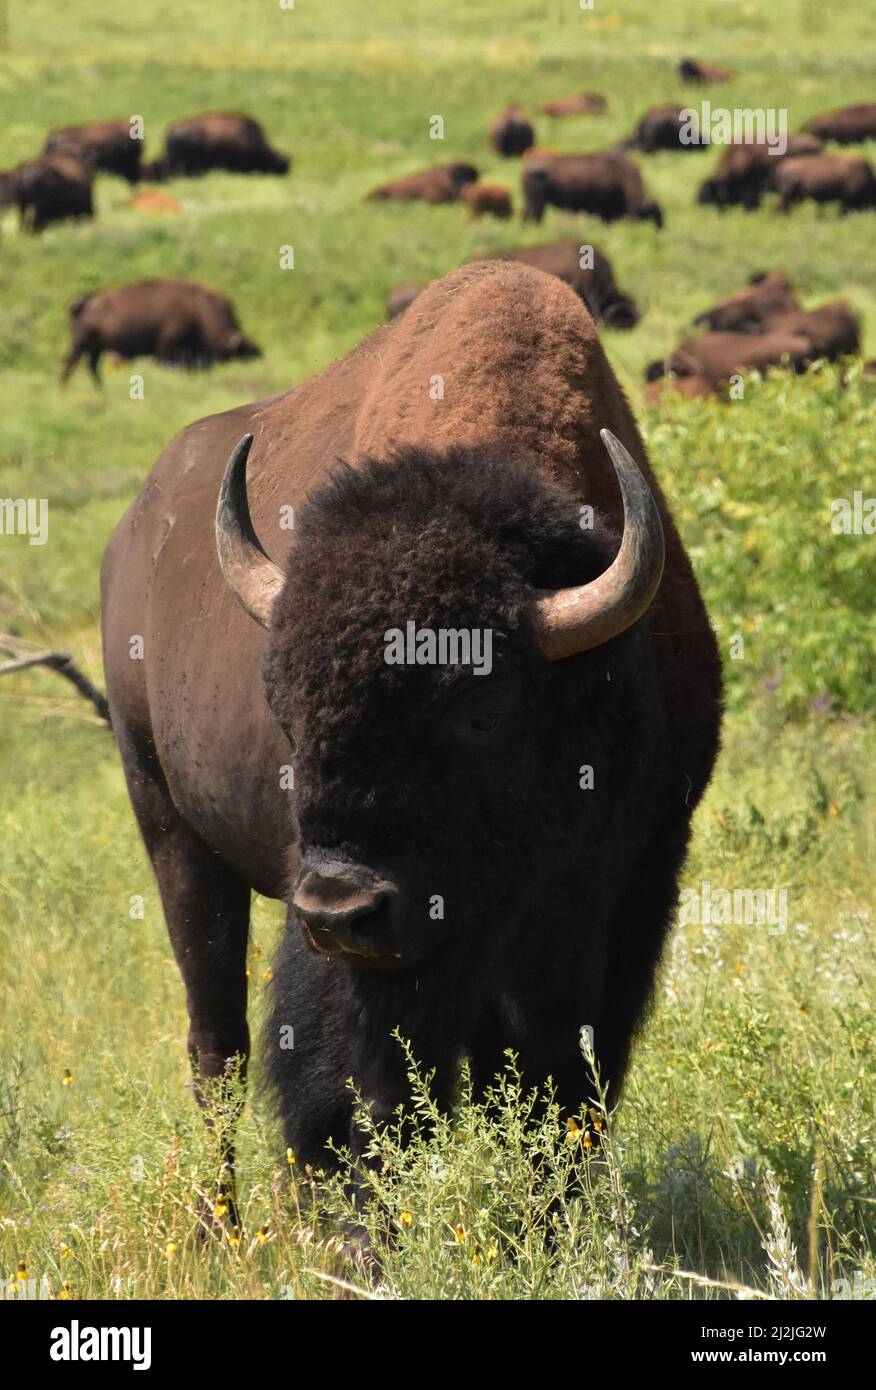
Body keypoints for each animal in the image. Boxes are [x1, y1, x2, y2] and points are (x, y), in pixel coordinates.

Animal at [61, 278, 261, 383]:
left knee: (91, 367)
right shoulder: (167, 345)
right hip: (81, 344)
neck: (200, 311)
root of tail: (84, 301)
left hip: (95, 348)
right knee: (71, 364)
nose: (260, 356)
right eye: (243, 352)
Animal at [101, 261, 721, 1241]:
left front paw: (548, 1234)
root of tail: (133, 532)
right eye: (285, 707)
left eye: (484, 711)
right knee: (217, 1048)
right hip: (170, 827)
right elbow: (369, 1095)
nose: (338, 909)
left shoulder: (630, 889)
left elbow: (559, 1086)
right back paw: (220, 1230)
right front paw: (364, 1243)